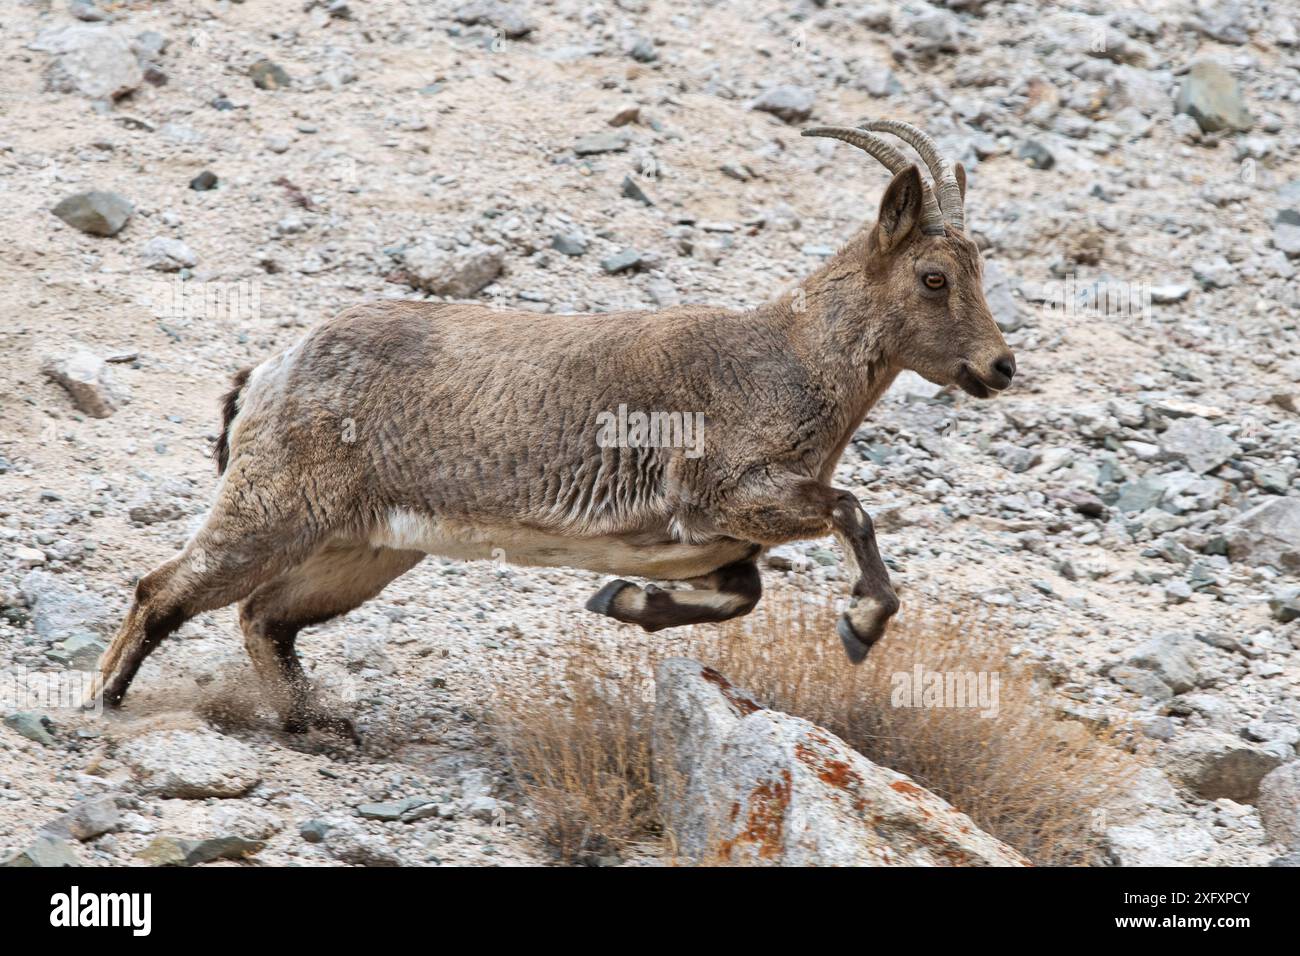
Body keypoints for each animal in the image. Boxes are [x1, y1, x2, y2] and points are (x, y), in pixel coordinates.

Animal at [96, 120, 1016, 738]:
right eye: (935, 277)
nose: (999, 367)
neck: (787, 358)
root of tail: (268, 372)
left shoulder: (716, 539)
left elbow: (742, 593)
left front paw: (625, 599)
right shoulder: (731, 493)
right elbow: (852, 509)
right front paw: (861, 625)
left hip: (365, 549)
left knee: (265, 618)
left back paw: (310, 722)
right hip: (276, 508)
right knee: (164, 587)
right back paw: (106, 701)